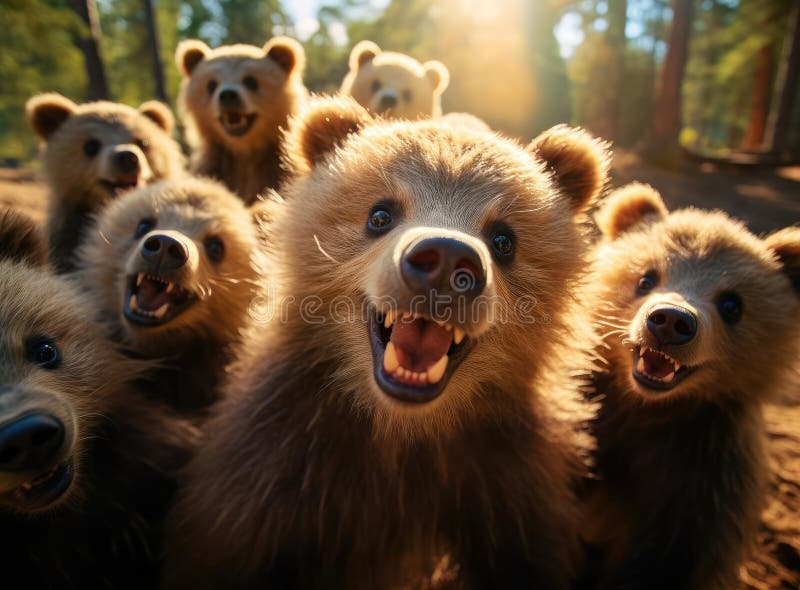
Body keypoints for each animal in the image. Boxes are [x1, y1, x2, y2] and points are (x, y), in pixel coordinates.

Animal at [163, 96, 610, 589]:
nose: (445, 259)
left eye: (504, 238)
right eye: (380, 214)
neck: (399, 432)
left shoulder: (508, 486)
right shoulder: (270, 471)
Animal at [175, 36, 307, 204]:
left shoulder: (275, 170)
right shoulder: (216, 167)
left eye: (250, 80)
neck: (243, 150)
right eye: (211, 84)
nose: (228, 95)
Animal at [580, 183, 800, 590]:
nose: (670, 320)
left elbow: (672, 559)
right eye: (646, 278)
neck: (643, 408)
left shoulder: (706, 470)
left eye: (732, 304)